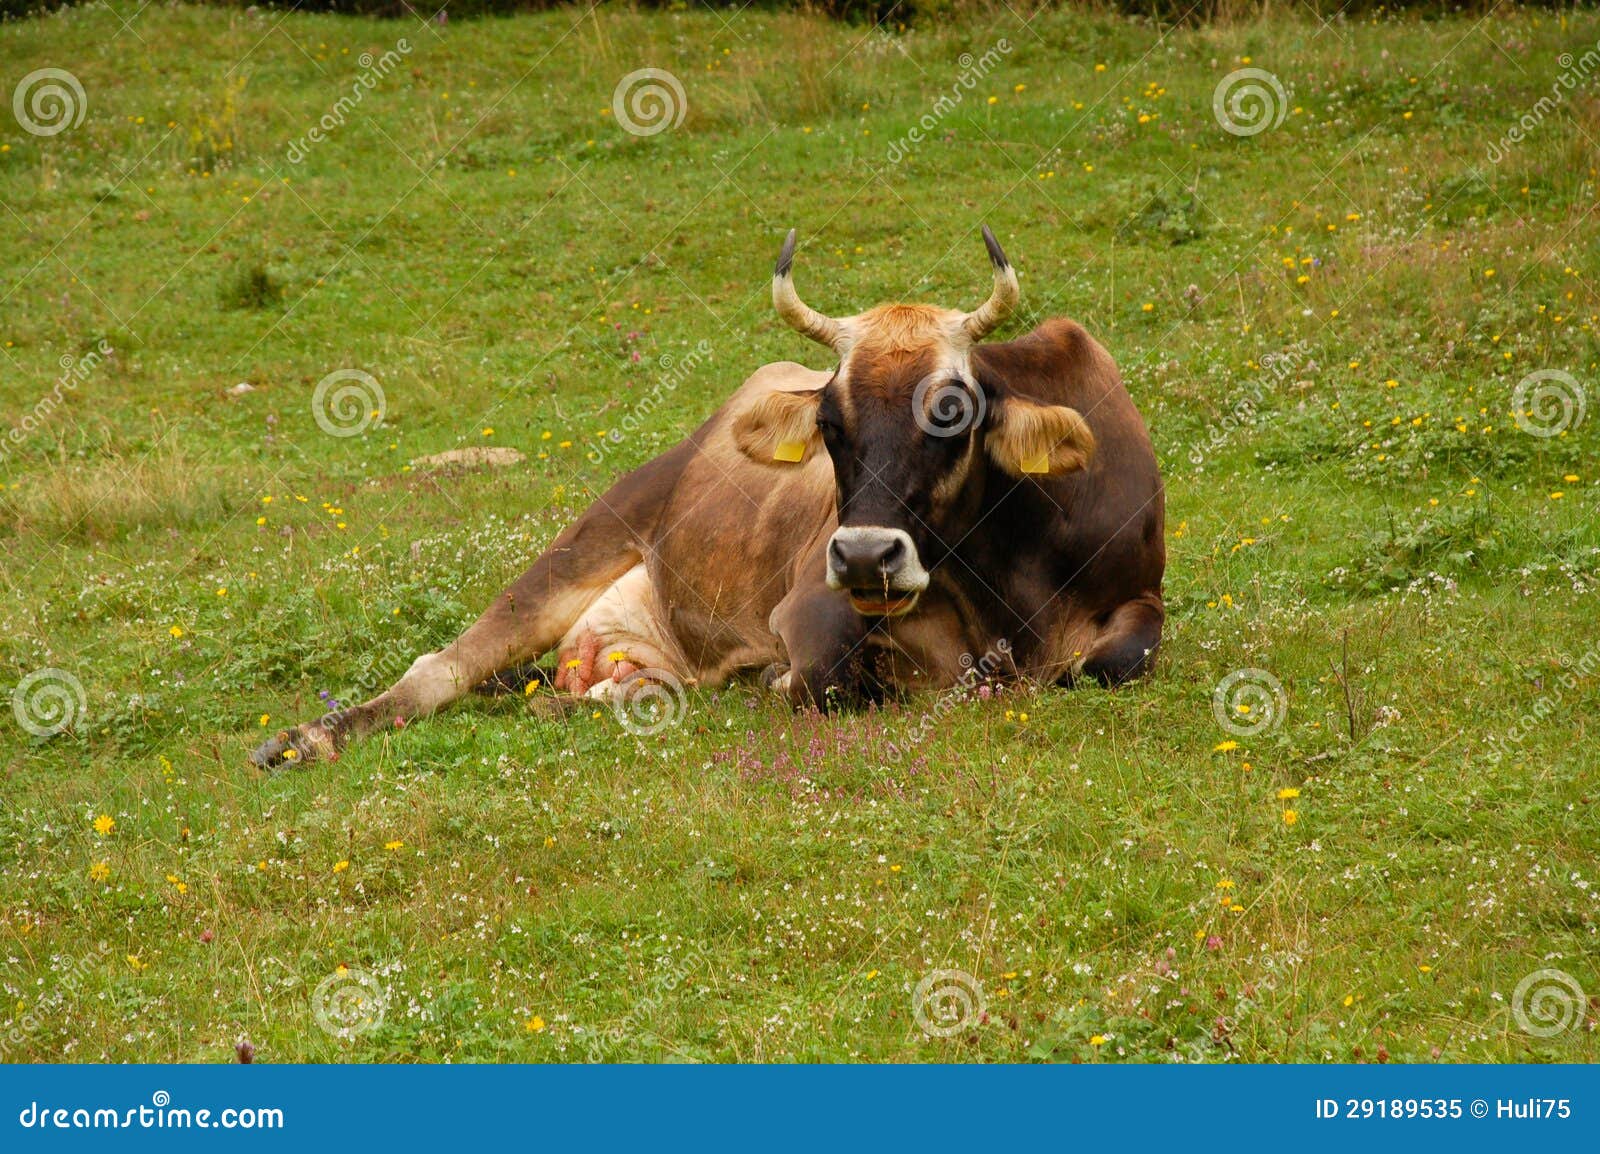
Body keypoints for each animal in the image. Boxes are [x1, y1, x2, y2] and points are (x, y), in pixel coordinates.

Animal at [250, 227, 1164, 769]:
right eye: (828, 420)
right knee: (439, 670)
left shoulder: (1140, 595)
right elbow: (829, 681)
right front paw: (783, 679)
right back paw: (306, 739)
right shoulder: (809, 610)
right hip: (585, 543)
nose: (864, 554)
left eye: (954, 411)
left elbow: (1118, 659)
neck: (1009, 586)